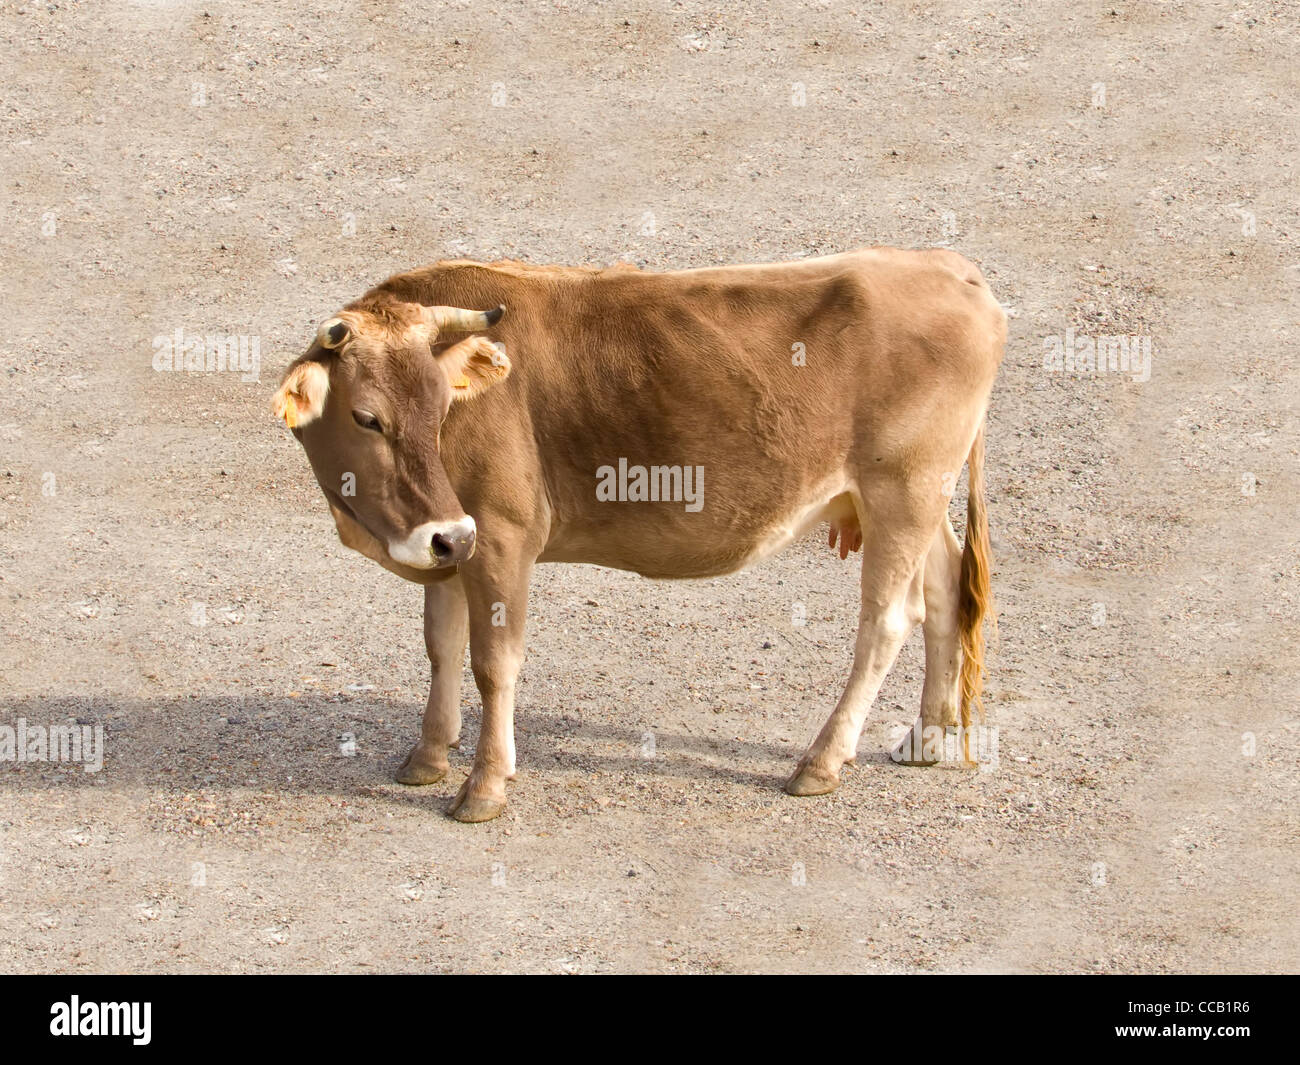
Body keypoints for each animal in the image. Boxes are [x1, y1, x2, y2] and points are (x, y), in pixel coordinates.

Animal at [272, 248, 1005, 822]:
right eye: (368, 417)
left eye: (439, 406)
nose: (446, 533)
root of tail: (949, 268)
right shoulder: (455, 538)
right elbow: (440, 645)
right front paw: (427, 755)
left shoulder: (501, 535)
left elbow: (493, 662)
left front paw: (484, 785)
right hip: (911, 497)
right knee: (944, 591)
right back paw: (928, 735)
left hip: (903, 488)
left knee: (887, 620)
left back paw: (821, 761)